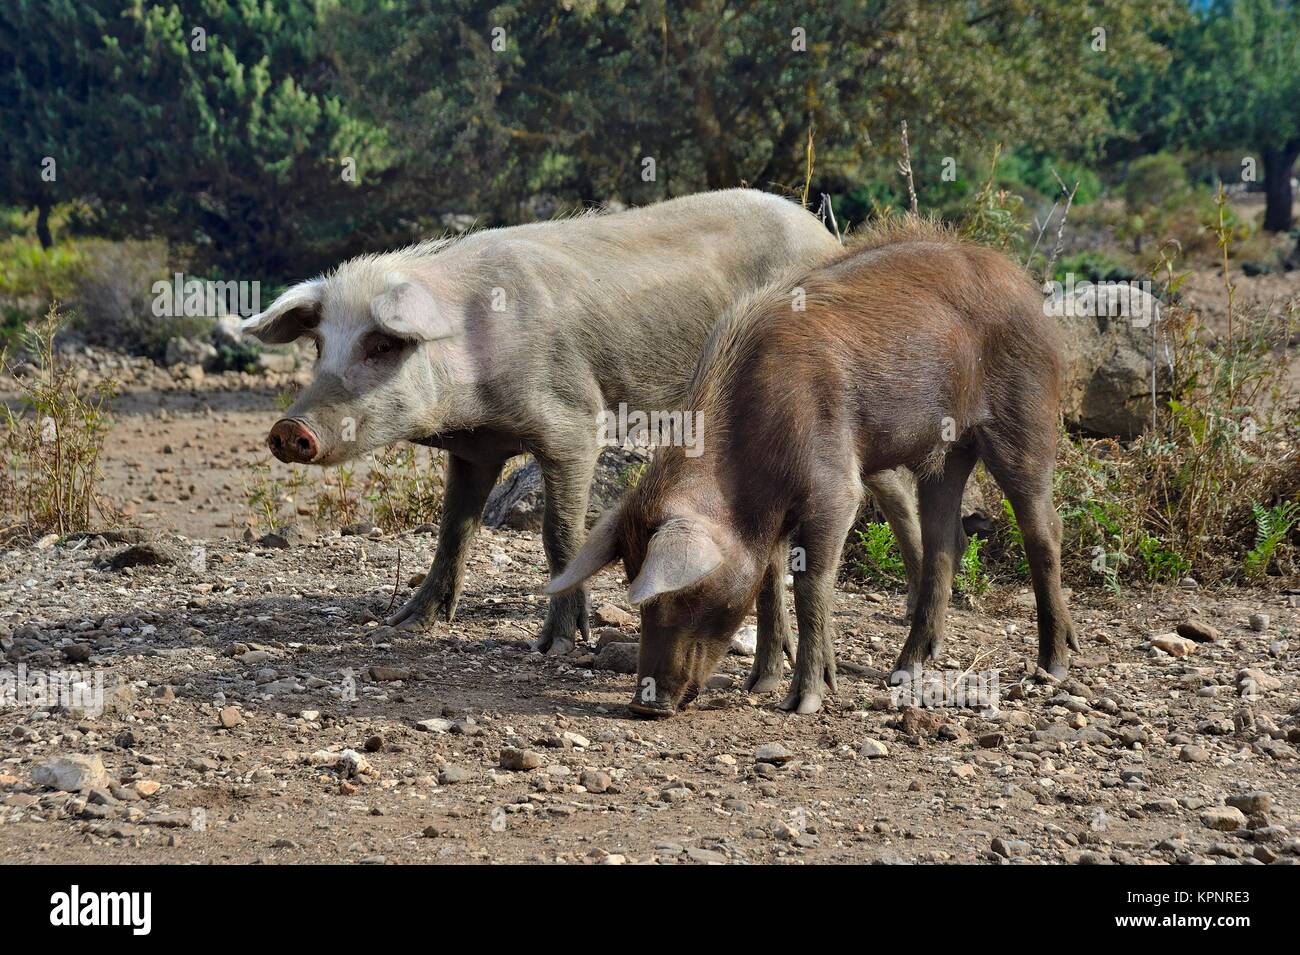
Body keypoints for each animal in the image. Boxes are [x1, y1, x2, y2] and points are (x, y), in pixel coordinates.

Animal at [242, 190, 923, 654]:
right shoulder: (474, 449)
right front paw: (408, 621)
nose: (289, 430)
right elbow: (454, 530)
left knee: (892, 487)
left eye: (382, 345)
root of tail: (826, 237)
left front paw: (561, 644)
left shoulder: (574, 421)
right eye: (319, 344)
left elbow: (559, 535)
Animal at [546, 218, 1079, 715]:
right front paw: (759, 684)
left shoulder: (835, 490)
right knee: (945, 543)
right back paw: (904, 672)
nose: (644, 705)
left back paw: (1052, 666)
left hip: (1026, 414)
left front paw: (804, 700)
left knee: (1043, 527)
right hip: (946, 455)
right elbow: (767, 583)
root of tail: (1025, 285)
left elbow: (809, 584)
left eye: (682, 594)